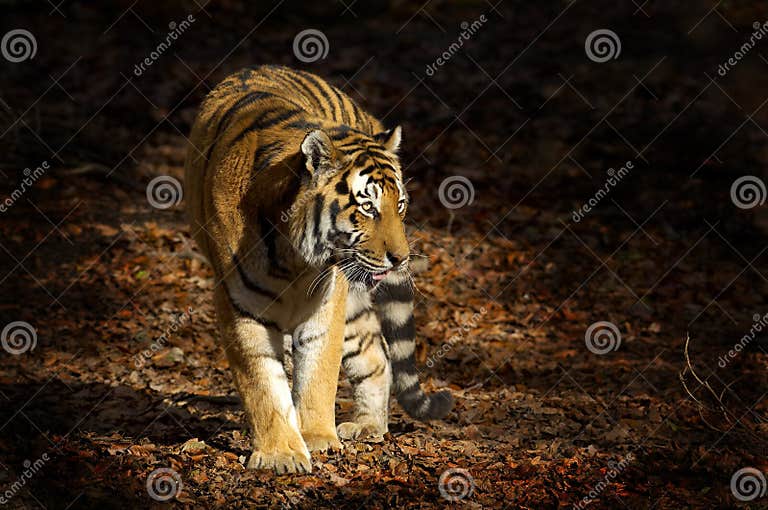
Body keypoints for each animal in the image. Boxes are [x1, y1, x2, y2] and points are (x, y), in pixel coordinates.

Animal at [184, 65, 453, 474]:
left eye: (400, 205)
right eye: (368, 207)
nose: (402, 258)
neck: (293, 258)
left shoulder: (327, 302)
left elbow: (319, 372)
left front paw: (316, 438)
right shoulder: (239, 306)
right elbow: (262, 383)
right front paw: (281, 452)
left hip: (350, 299)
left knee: (375, 354)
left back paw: (367, 427)